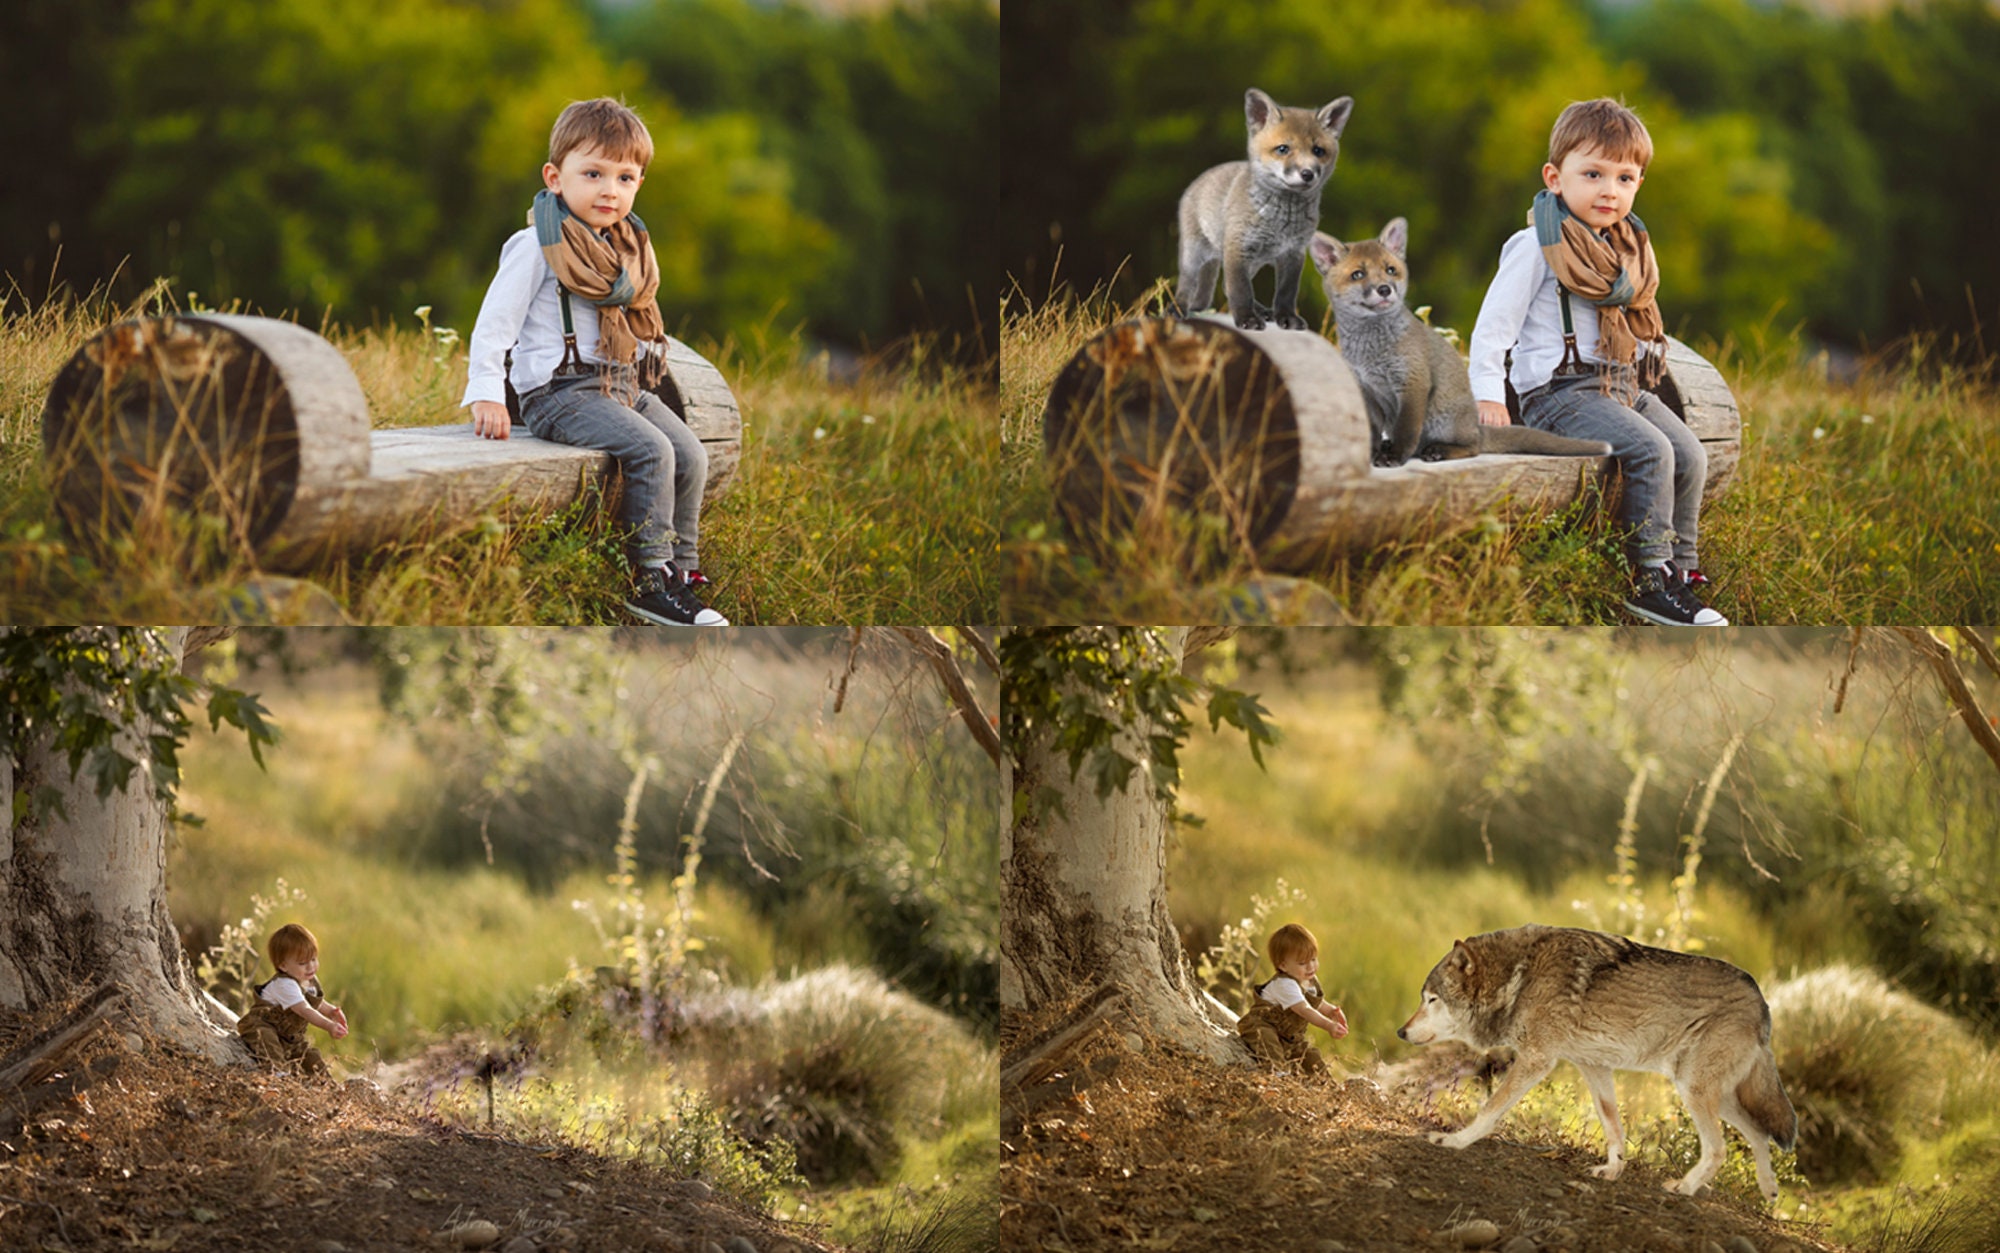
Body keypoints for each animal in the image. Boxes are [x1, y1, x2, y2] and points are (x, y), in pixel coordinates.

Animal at [1173, 88, 1354, 332]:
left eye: (1318, 151)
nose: (1307, 174)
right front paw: (1247, 319)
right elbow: (1241, 291)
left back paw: (1263, 311)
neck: (1281, 220)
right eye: (1283, 149)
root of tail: (1202, 176)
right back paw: (1178, 309)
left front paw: (1285, 317)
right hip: (1195, 254)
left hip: (1252, 263)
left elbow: (1285, 293)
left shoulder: (1293, 252)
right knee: (1188, 286)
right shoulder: (1237, 248)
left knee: (1224, 286)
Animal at [1311, 218, 1613, 467]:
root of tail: (1475, 425)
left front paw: (1394, 457)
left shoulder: (1412, 383)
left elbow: (1405, 430)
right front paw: (1373, 453)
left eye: (1390, 270)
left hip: (1443, 418)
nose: (1385, 289)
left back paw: (1438, 450)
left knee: (1472, 447)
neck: (1370, 351)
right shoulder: (1366, 389)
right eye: (1358, 274)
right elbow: (1372, 431)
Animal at [1398, 924, 1799, 1203]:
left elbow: (1489, 1109)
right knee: (1759, 1133)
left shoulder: (1537, 1061)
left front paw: (1455, 1141)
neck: (1519, 978)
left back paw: (1684, 1187)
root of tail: (1762, 1000)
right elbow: (1613, 1128)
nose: (1401, 1031)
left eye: (1431, 999)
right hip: (1714, 1094)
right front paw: (1612, 1169)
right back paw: (1769, 1189)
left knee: (1720, 1149)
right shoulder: (1594, 1068)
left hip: (1694, 1090)